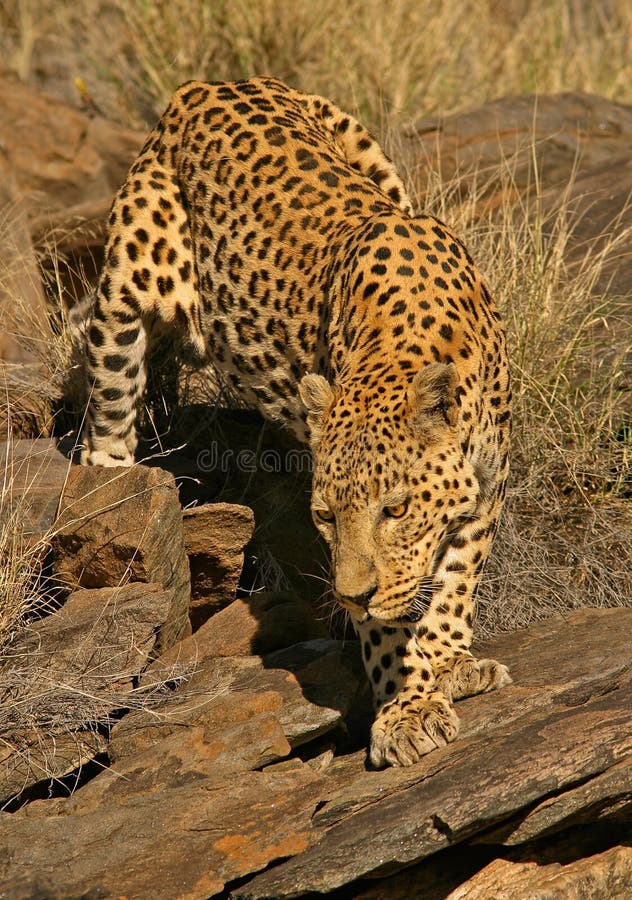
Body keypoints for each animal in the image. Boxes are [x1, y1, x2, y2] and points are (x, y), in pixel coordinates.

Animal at [81, 76, 512, 768]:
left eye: (395, 510)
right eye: (325, 517)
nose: (351, 595)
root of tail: (208, 84)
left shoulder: (486, 492)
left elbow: (451, 587)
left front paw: (449, 662)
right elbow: (390, 630)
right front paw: (408, 708)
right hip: (128, 283)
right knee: (112, 399)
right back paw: (116, 480)